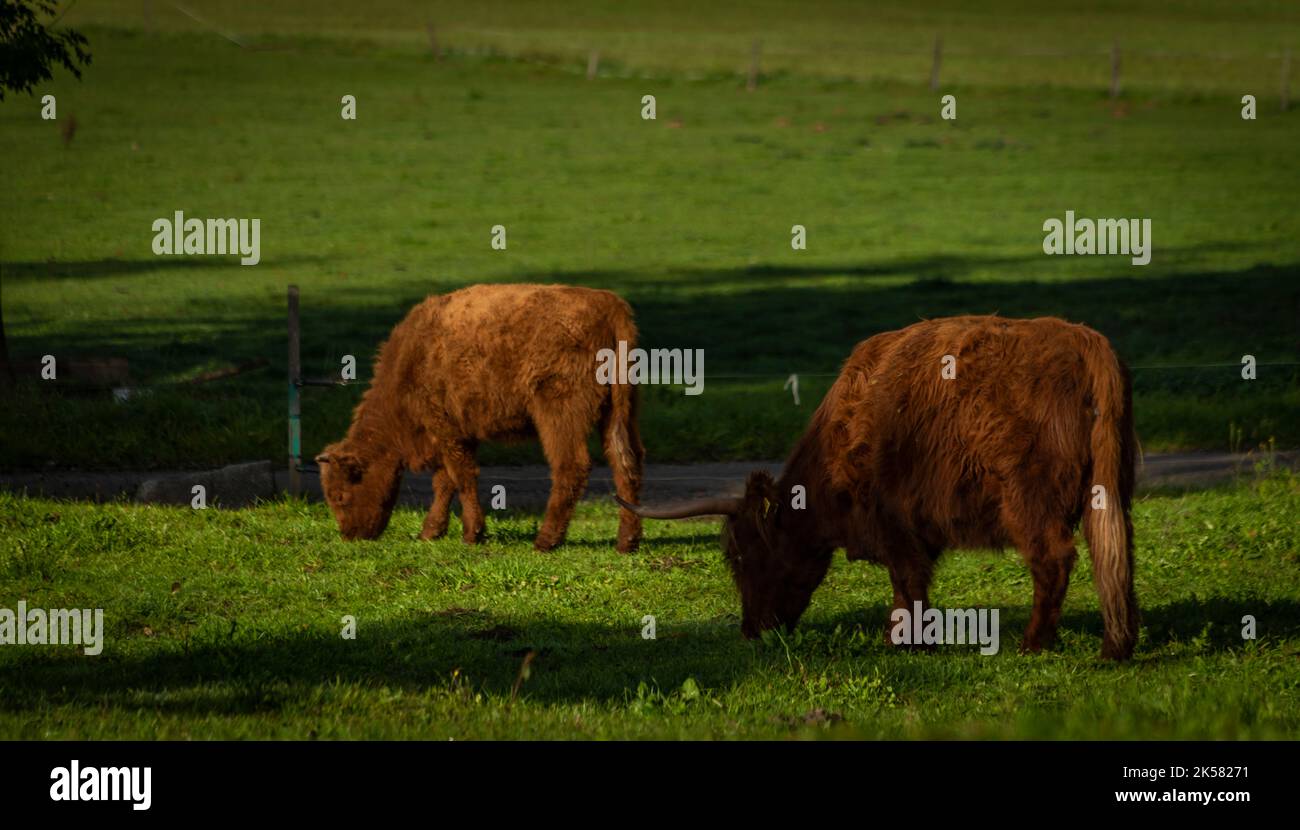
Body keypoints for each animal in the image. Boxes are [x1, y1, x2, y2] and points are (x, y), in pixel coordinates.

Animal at [317, 283, 643, 553]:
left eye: (340, 496)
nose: (350, 536)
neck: (409, 363)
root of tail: (608, 304)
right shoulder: (455, 436)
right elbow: (445, 482)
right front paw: (431, 532)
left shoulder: (446, 430)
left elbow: (461, 478)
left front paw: (472, 533)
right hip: (618, 413)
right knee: (626, 462)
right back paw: (627, 541)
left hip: (559, 414)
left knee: (571, 466)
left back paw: (546, 540)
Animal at [620, 315, 1139, 660]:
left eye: (745, 558)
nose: (751, 631)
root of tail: (1084, 340)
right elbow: (913, 583)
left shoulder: (893, 520)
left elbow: (906, 583)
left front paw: (903, 641)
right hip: (1111, 491)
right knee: (1117, 555)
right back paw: (1118, 643)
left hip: (1029, 500)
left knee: (1053, 559)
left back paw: (1033, 643)